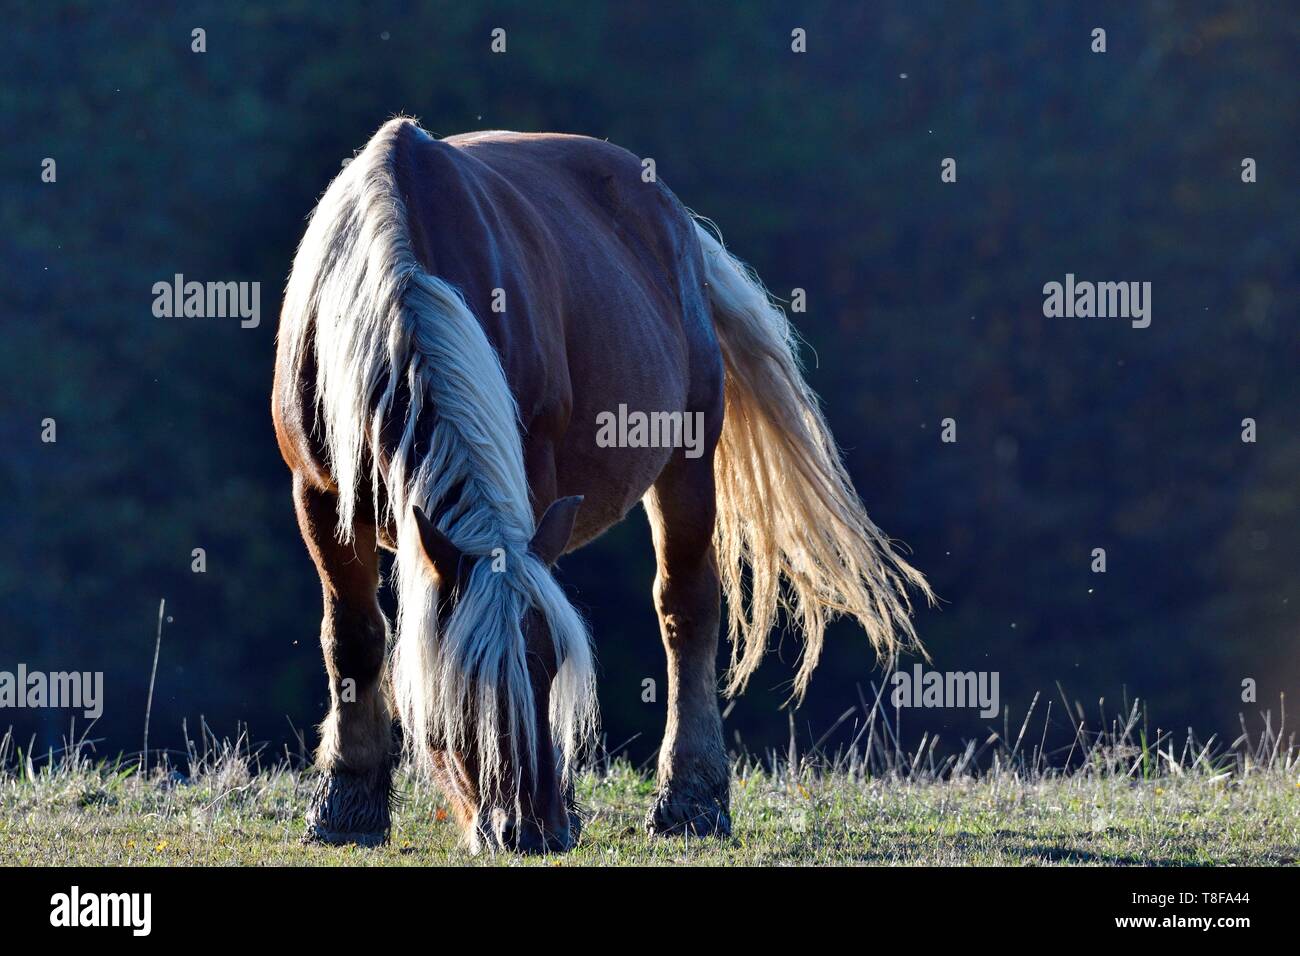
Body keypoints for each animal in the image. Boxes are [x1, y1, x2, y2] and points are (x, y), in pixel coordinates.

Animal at [273, 117, 931, 853]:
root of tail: (672, 215)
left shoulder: (533, 479)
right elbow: (352, 635)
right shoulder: (317, 495)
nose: (529, 829)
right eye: (463, 689)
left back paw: (691, 797)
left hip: (687, 460)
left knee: (686, 608)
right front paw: (345, 806)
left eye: (551, 668)